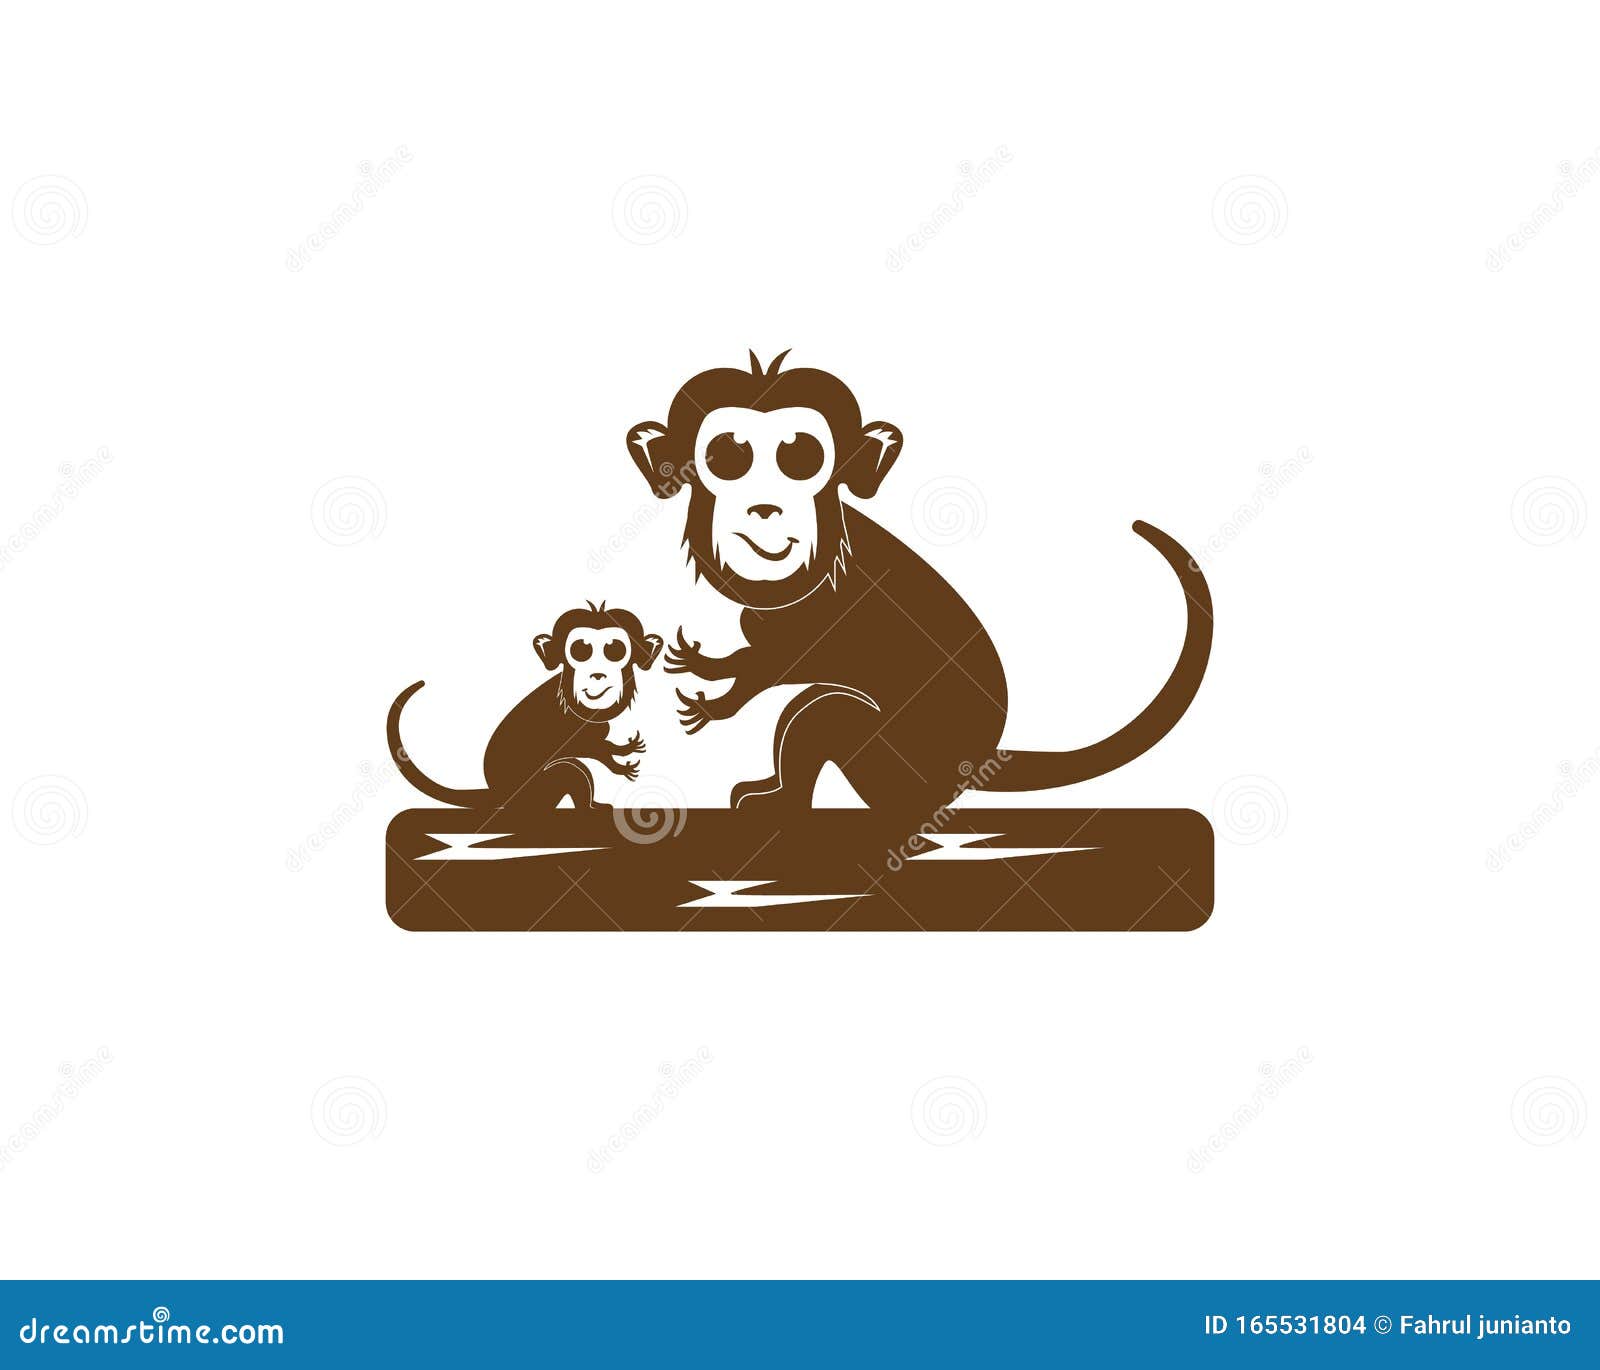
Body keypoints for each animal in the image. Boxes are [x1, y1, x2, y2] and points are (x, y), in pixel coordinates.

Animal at [387, 603, 663, 813]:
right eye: (580, 651)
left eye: (615, 650)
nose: (597, 675)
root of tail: (496, 794)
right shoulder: (575, 727)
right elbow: (589, 749)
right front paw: (618, 764)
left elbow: (598, 744)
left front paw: (622, 749)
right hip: (534, 795)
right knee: (568, 770)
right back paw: (587, 808)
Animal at [624, 351, 1212, 818]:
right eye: (726, 457)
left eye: (802, 458)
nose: (765, 508)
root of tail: (980, 760)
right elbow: (761, 656)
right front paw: (708, 665)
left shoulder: (822, 615)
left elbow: (777, 668)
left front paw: (717, 702)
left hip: (897, 765)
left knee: (829, 713)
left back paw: (786, 802)